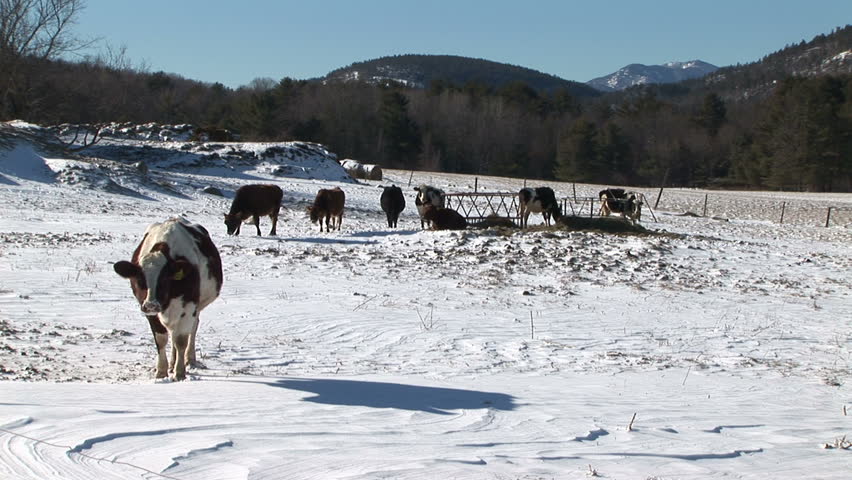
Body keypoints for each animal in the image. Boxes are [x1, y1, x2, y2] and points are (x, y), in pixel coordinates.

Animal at [113, 217, 223, 381]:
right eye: (140, 279)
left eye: (164, 279)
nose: (151, 305)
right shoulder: (148, 311)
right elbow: (161, 339)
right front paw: (162, 371)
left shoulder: (189, 307)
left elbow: (181, 340)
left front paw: (180, 372)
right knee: (172, 332)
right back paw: (172, 362)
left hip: (197, 307)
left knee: (192, 329)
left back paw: (190, 360)